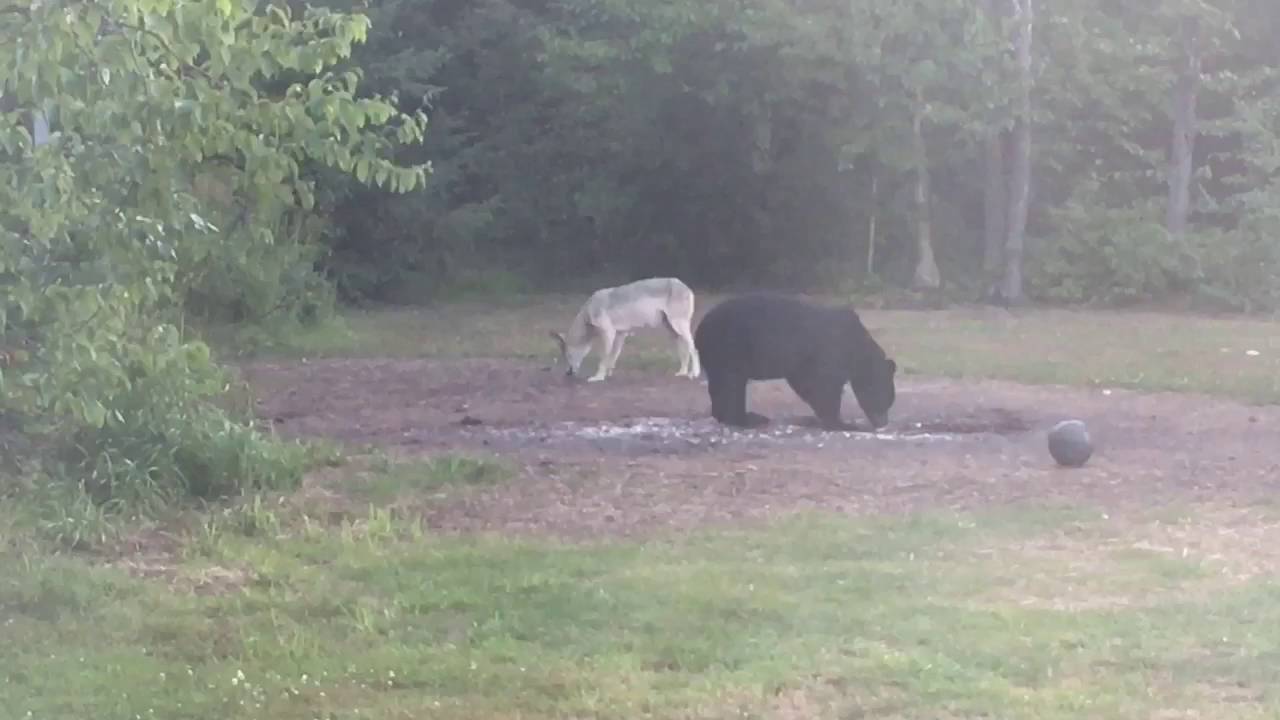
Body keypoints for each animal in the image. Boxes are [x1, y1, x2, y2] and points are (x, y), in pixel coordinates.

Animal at [693, 293, 898, 431]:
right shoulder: (829, 352)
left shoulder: (803, 363)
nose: (883, 422)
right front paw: (842, 423)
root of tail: (699, 331)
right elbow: (825, 386)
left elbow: (807, 384)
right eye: (886, 399)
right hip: (729, 348)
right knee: (731, 385)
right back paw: (749, 418)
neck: (857, 349)